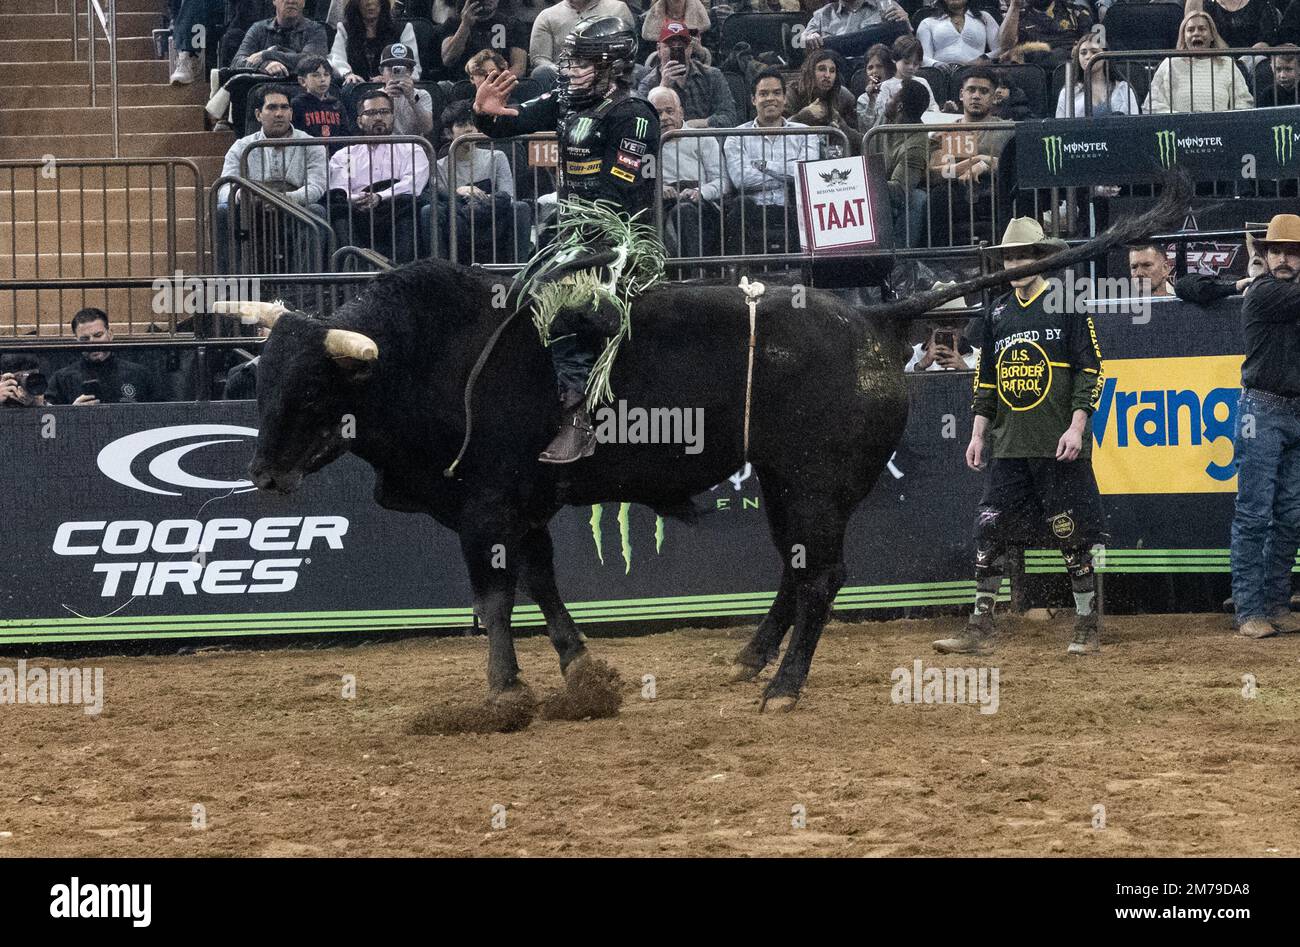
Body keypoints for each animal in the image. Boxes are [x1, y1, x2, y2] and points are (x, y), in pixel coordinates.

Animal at [216, 174, 1188, 728]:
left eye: (312, 391)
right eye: (260, 384)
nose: (261, 474)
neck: (441, 356)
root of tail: (876, 318)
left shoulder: (486, 508)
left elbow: (496, 599)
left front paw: (503, 693)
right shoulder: (526, 507)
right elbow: (542, 585)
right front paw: (581, 672)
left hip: (815, 483)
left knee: (822, 577)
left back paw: (783, 685)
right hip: (790, 488)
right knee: (796, 570)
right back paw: (753, 658)